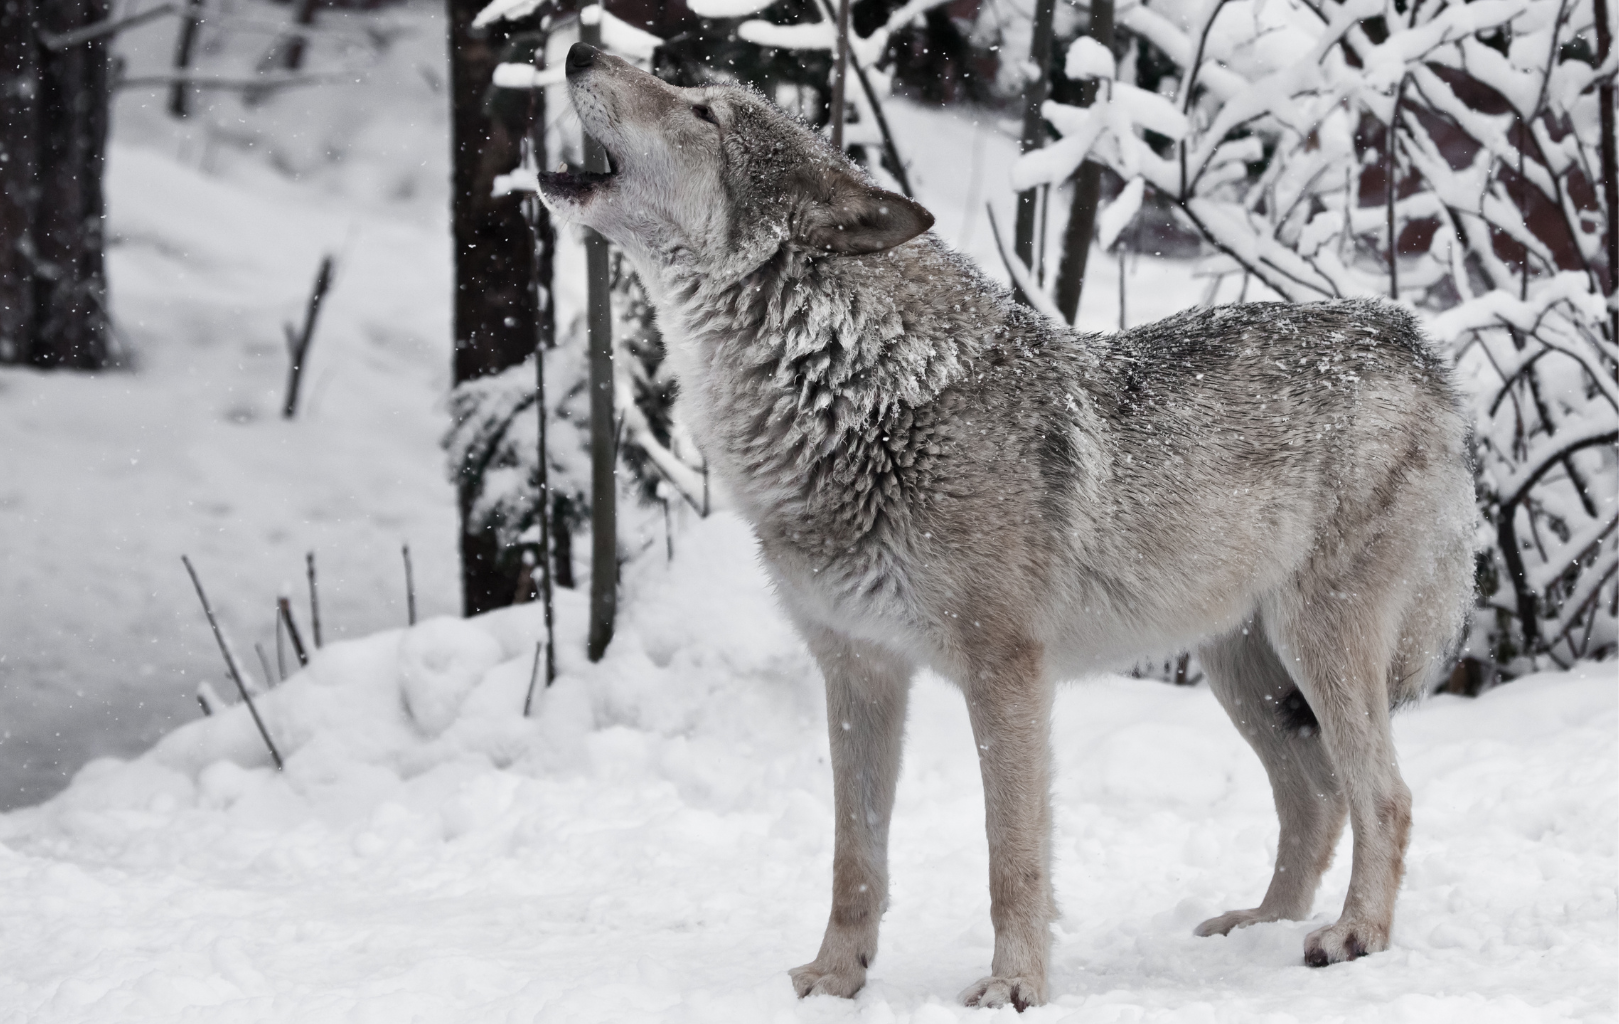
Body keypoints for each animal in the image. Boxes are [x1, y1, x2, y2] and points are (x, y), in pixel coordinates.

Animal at [537, 42, 1476, 1010]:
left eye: (703, 112)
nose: (576, 49)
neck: (857, 390)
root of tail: (1413, 342)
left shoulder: (1006, 674)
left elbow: (1009, 857)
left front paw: (1014, 987)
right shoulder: (856, 673)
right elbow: (853, 860)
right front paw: (835, 980)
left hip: (1314, 644)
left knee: (1384, 796)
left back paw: (1353, 935)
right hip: (1242, 672)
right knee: (1315, 801)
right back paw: (1260, 926)